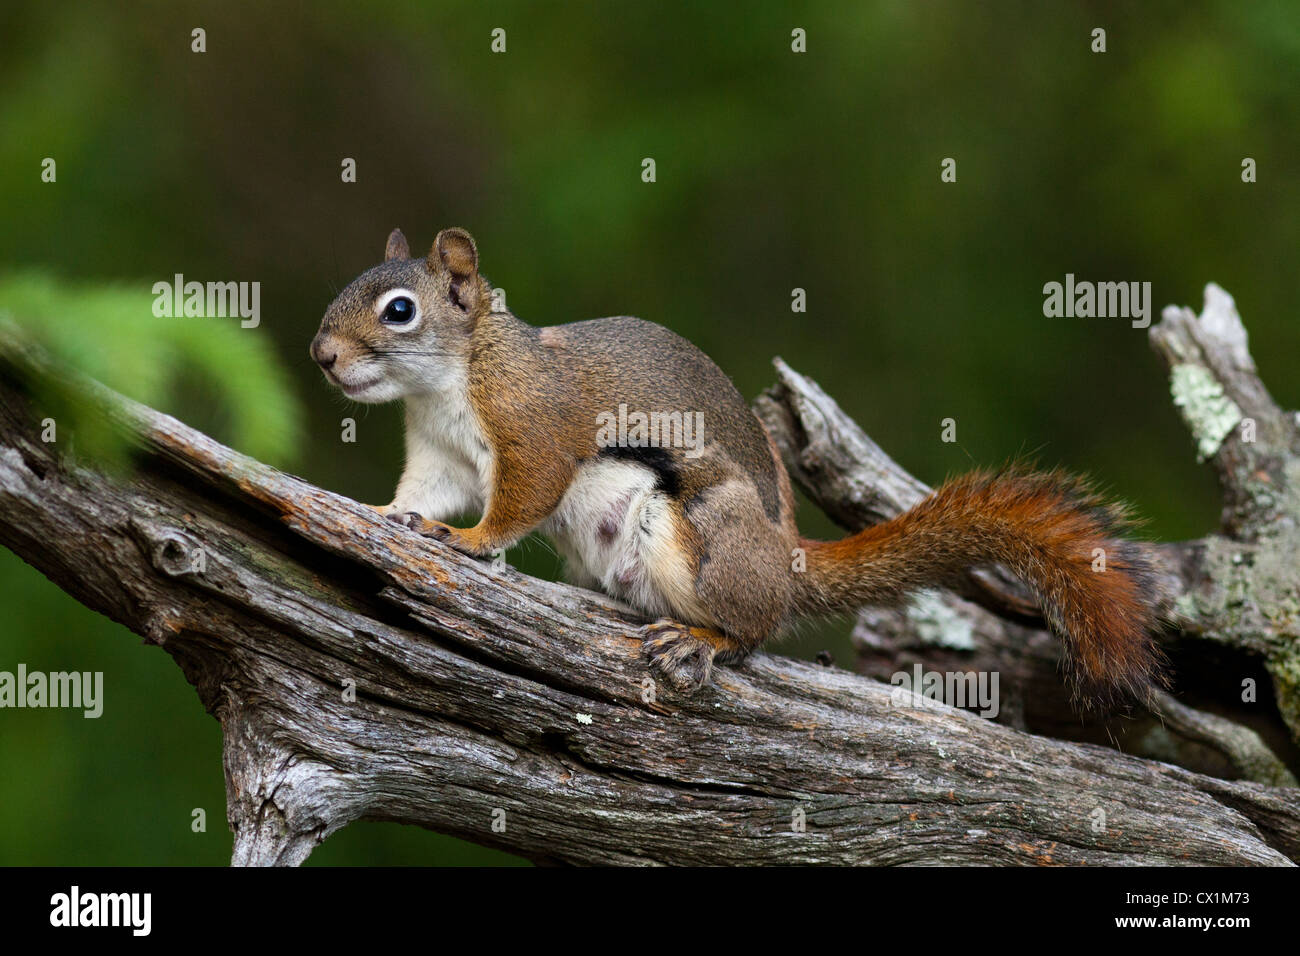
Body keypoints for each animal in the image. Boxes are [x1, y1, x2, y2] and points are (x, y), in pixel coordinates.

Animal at [310, 227, 1166, 709]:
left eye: (399, 311)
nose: (322, 357)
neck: (454, 379)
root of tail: (785, 561)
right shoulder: (441, 454)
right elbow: (425, 493)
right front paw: (386, 515)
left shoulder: (535, 432)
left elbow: (520, 501)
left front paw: (472, 543)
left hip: (699, 534)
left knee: (752, 633)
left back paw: (703, 640)